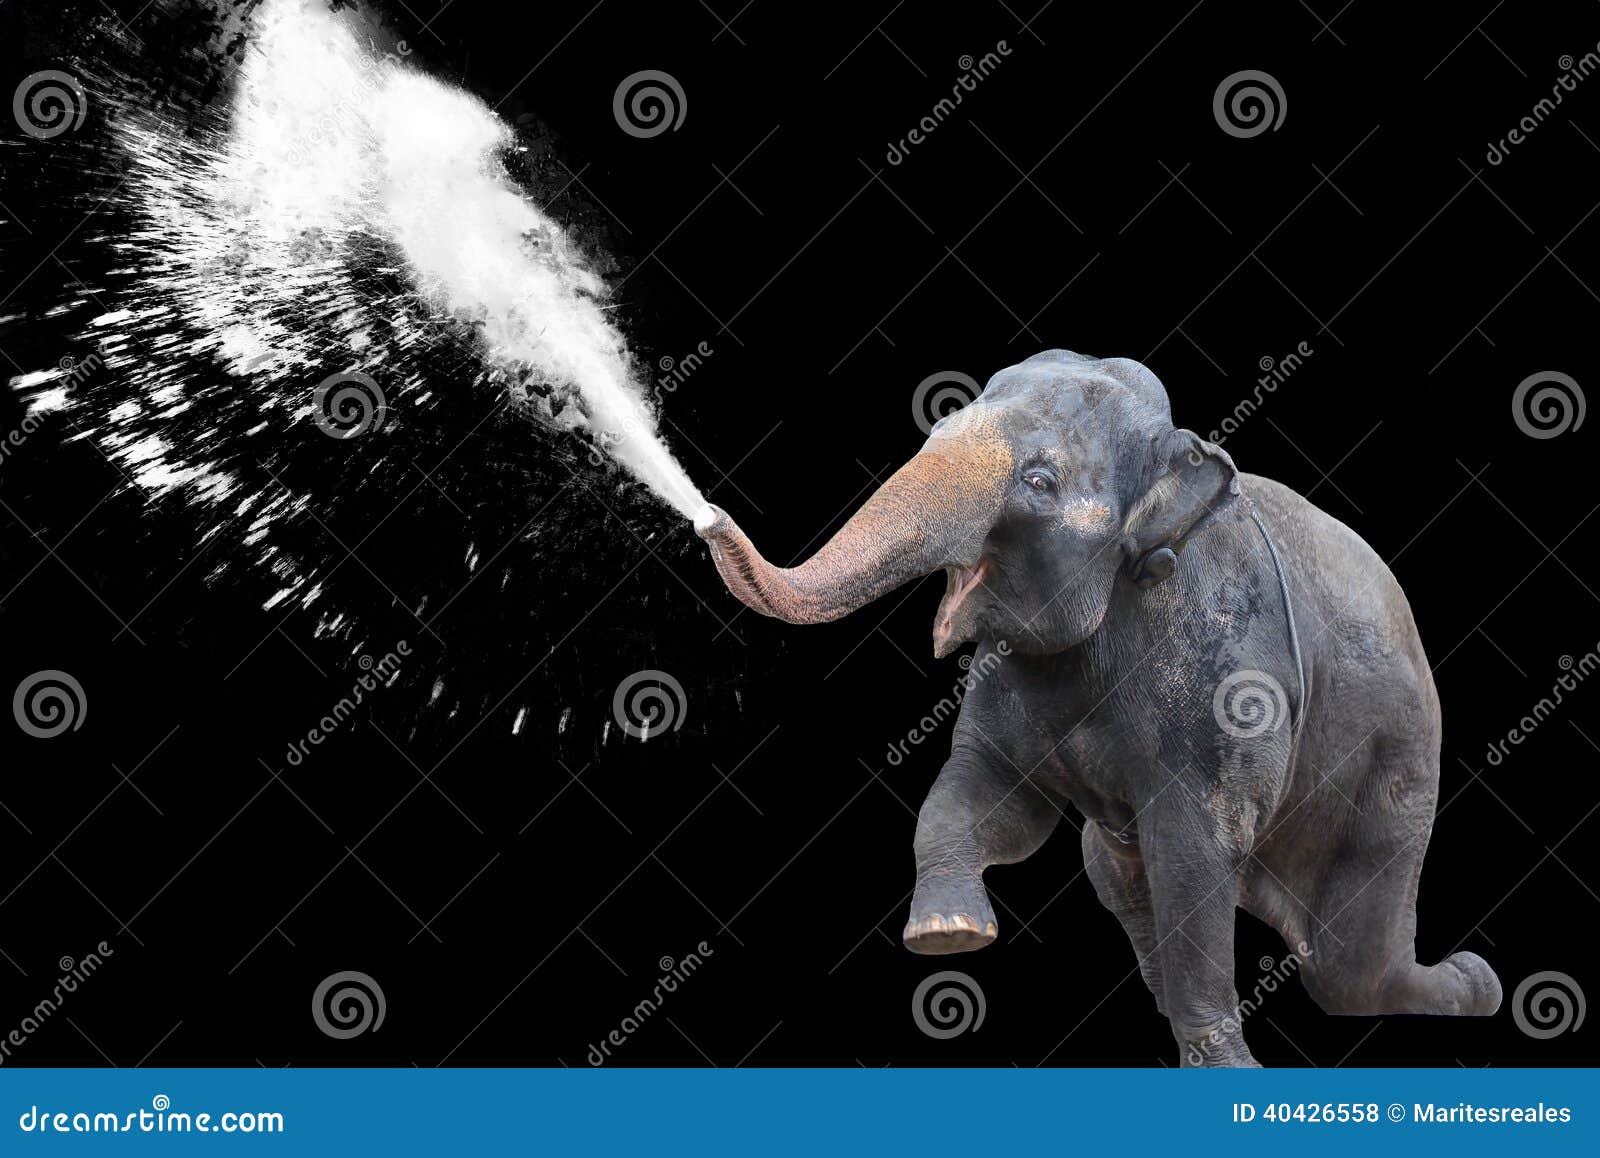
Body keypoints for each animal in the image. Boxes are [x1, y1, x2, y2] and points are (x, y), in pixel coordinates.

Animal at [696, 349, 1502, 1066]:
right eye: (937, 430)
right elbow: (994, 798)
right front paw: (949, 934)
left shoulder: (1228, 677)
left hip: (1399, 761)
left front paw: (1227, 1071)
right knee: (1117, 871)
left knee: (1348, 967)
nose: (705, 515)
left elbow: (1194, 848)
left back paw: (1471, 986)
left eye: (1040, 480)